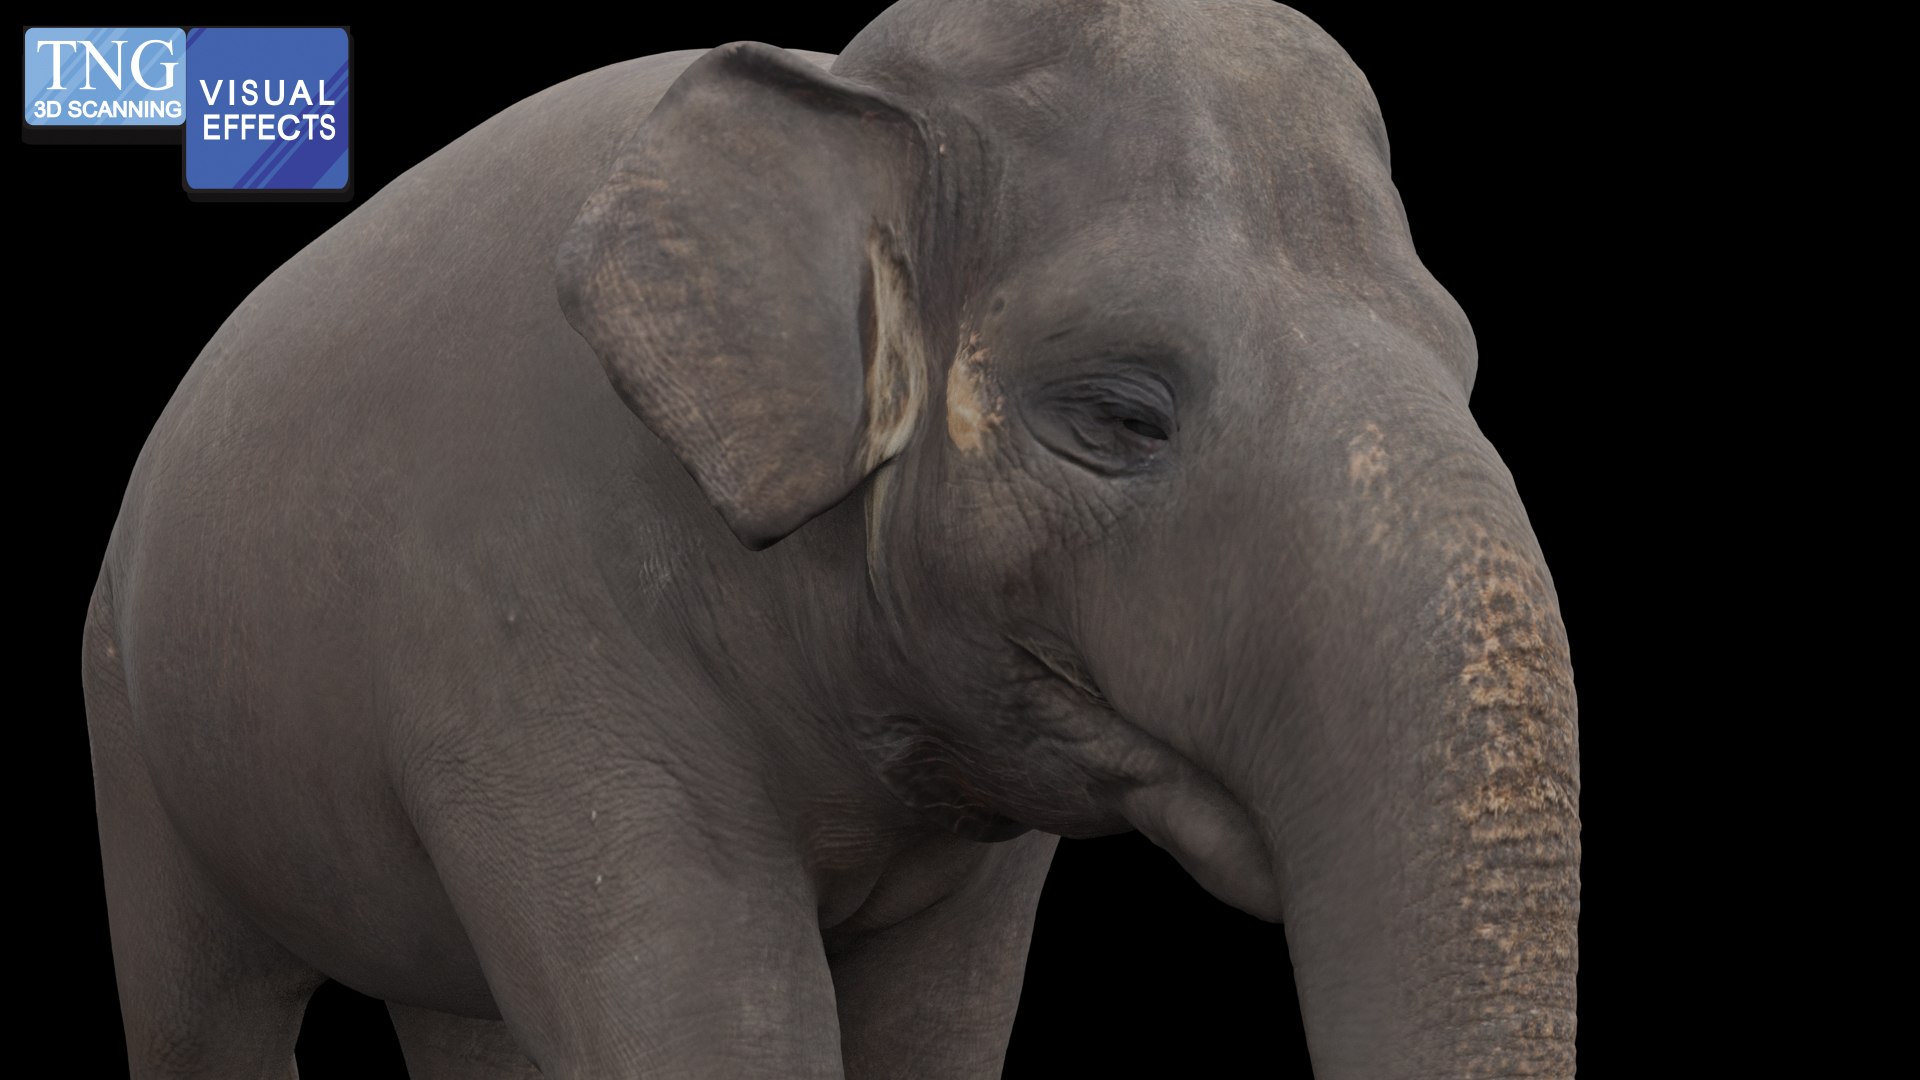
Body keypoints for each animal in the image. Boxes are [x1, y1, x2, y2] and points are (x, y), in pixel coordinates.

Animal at [79, 1, 1580, 1077]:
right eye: (1122, 413)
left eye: (1465, 366)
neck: (849, 92)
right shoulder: (536, 640)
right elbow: (710, 1026)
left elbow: (937, 1024)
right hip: (132, 733)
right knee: (204, 1014)